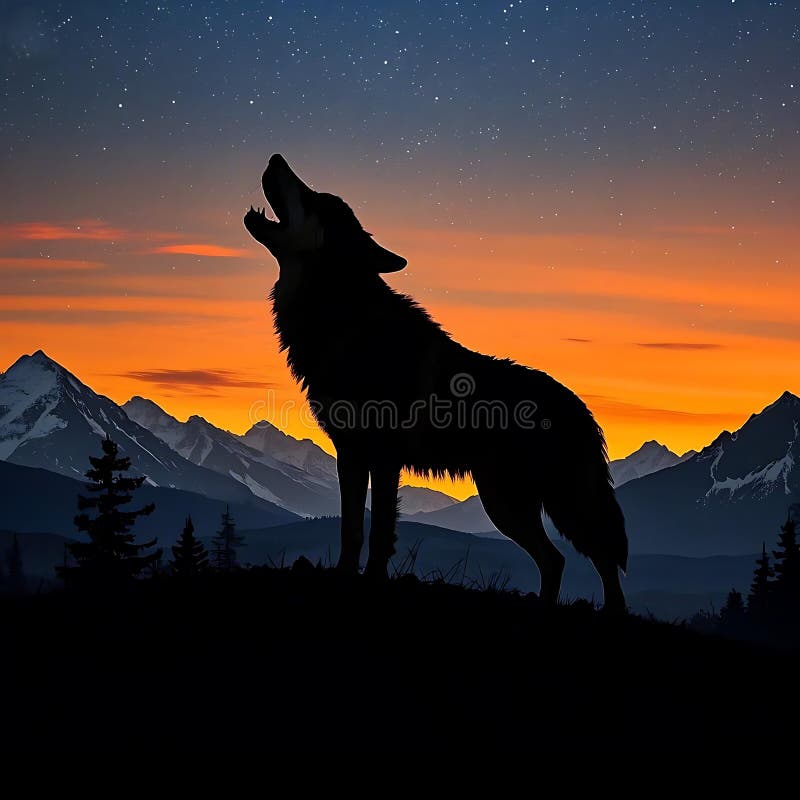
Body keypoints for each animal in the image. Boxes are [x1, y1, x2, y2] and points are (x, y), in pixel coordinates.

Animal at [244, 154, 627, 611]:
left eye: (314, 197)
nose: (275, 158)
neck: (343, 320)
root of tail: (585, 413)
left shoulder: (384, 457)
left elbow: (379, 532)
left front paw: (373, 583)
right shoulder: (350, 454)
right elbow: (351, 529)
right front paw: (343, 579)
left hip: (547, 502)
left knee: (602, 556)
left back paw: (614, 612)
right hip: (506, 503)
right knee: (556, 560)